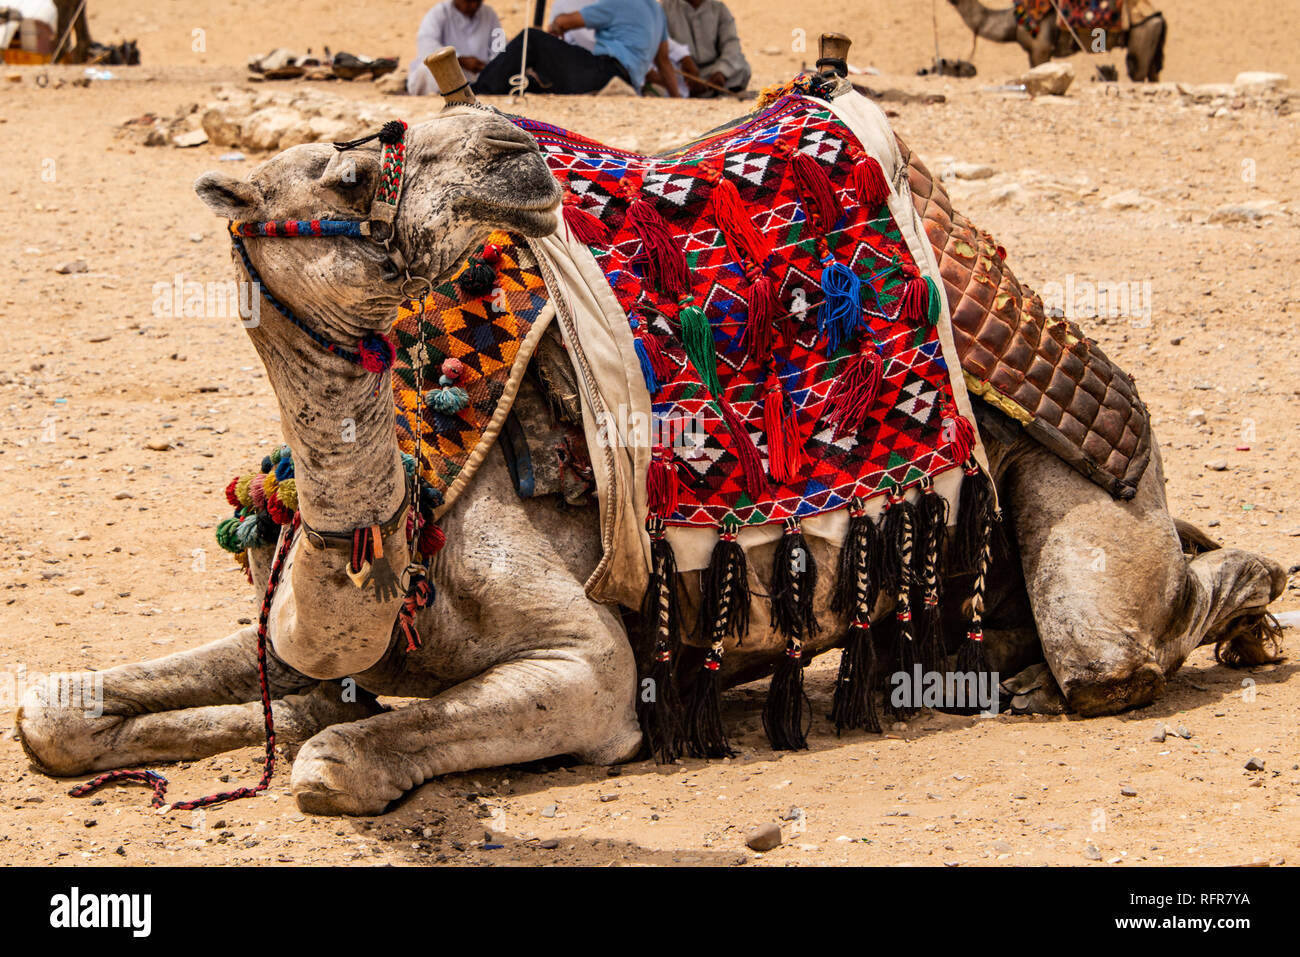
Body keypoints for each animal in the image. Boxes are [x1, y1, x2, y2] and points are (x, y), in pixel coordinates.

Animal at [16, 48, 1282, 817]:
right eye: (345, 167)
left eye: (371, 147)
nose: (507, 149)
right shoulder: (327, 636)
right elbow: (55, 716)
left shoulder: (588, 665)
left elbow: (333, 760)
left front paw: (336, 743)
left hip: (1101, 512)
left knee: (1126, 641)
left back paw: (1229, 625)